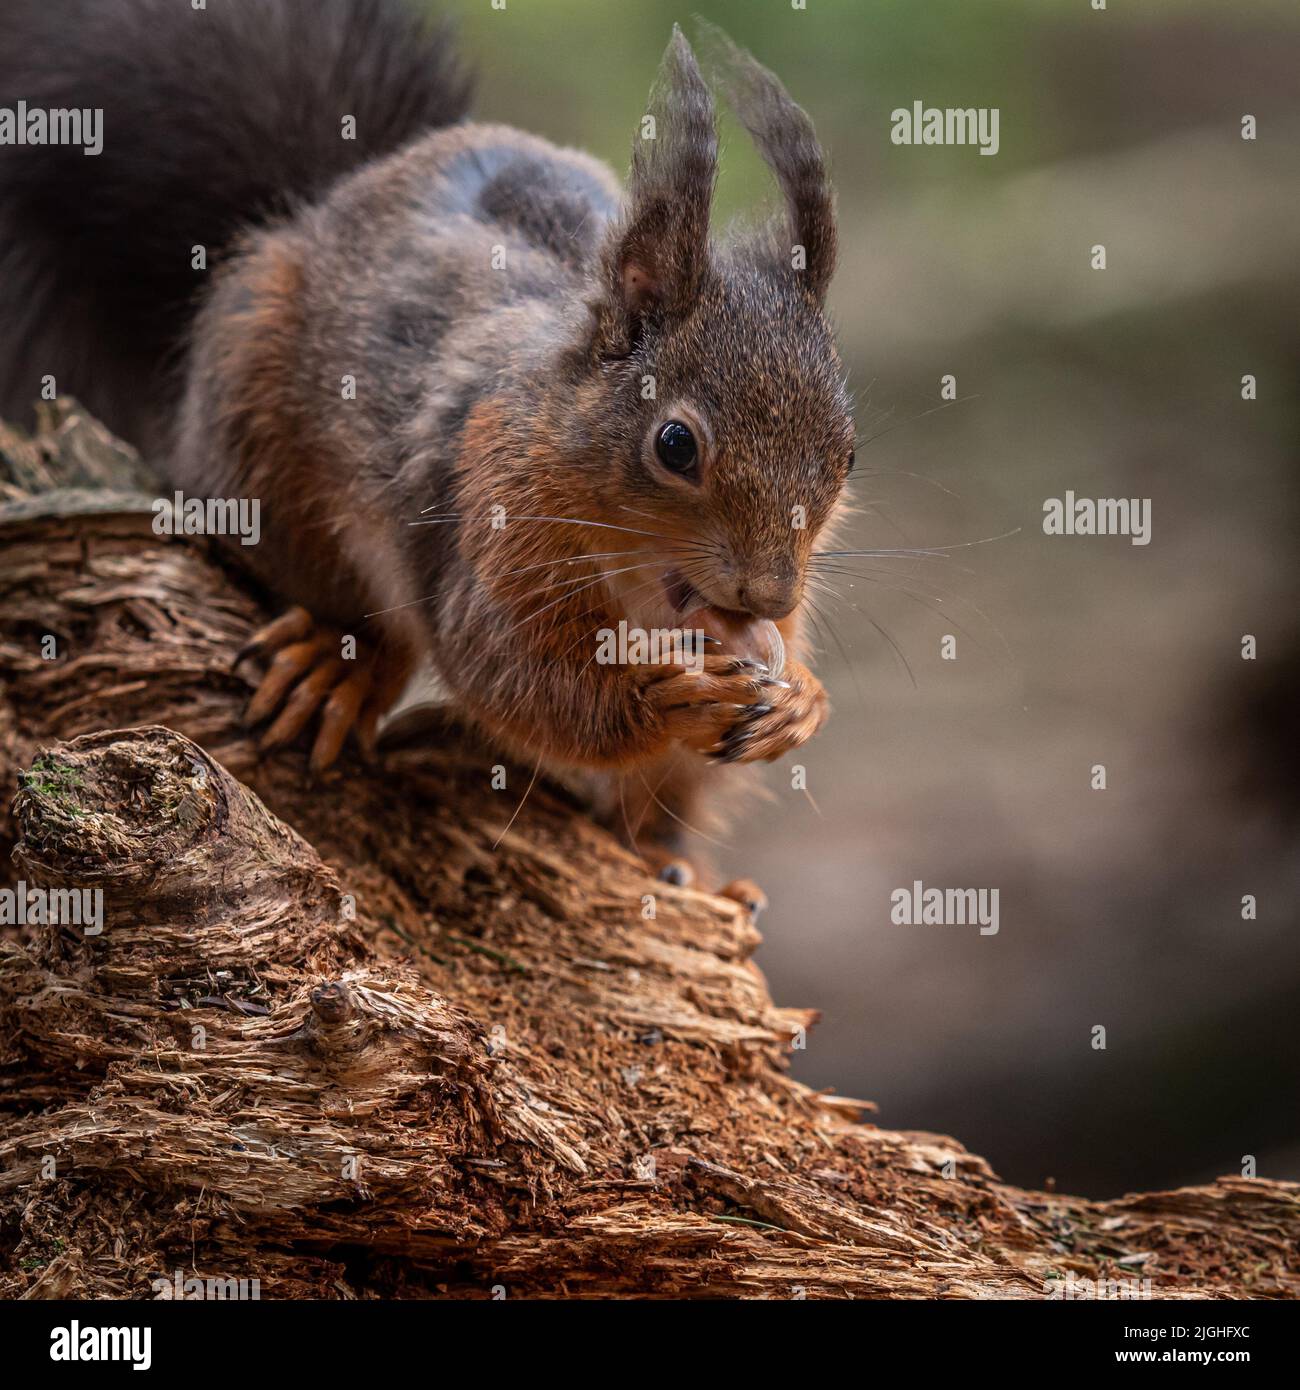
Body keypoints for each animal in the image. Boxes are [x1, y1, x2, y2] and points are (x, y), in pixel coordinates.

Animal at [0, 0, 856, 906]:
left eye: (847, 457)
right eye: (675, 444)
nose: (770, 592)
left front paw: (802, 701)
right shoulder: (490, 523)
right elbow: (510, 672)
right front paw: (669, 697)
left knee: (663, 806)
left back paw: (687, 866)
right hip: (259, 454)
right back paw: (341, 662)